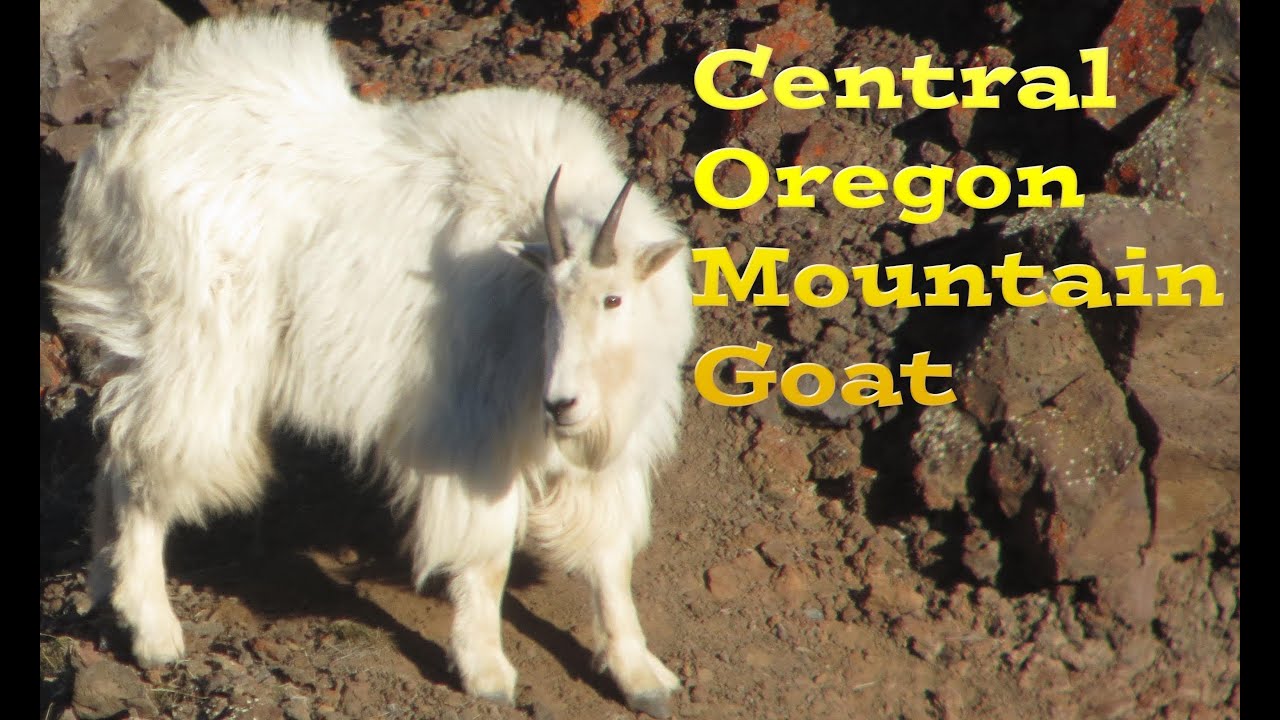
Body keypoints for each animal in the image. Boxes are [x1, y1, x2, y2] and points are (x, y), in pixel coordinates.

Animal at [48, 15, 695, 717]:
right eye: (549, 297)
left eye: (613, 298)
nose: (562, 404)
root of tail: (121, 142)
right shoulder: (477, 435)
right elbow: (488, 555)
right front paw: (486, 670)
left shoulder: (604, 453)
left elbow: (610, 561)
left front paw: (642, 674)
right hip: (193, 349)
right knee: (146, 472)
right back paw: (153, 631)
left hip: (142, 343)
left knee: (114, 455)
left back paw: (103, 592)